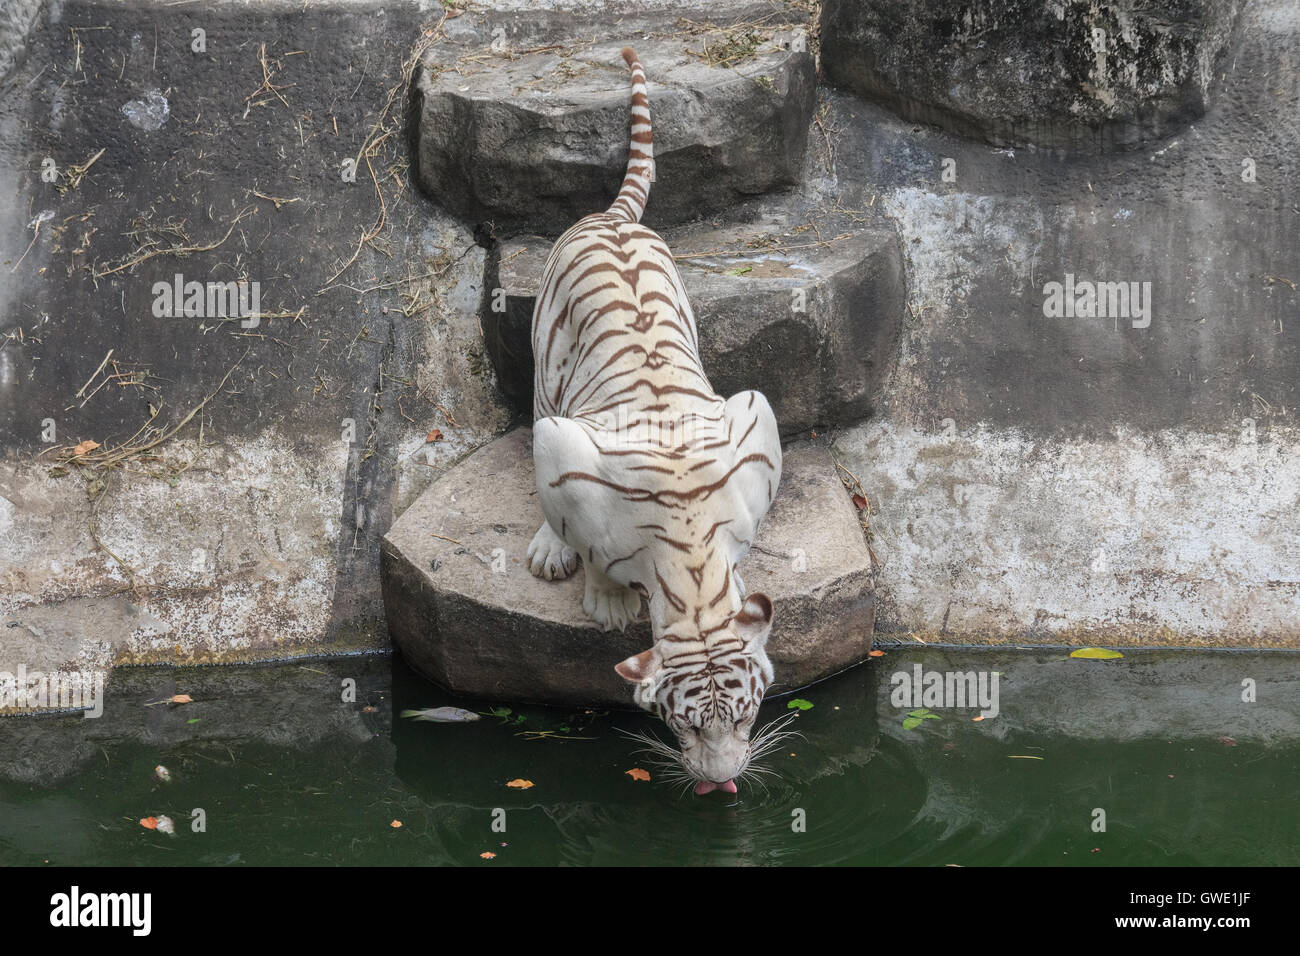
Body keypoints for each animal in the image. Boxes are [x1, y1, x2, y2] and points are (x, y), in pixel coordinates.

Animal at [525, 47, 785, 795]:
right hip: (546, 377)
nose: (721, 781)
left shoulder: (754, 418)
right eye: (686, 725)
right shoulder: (566, 455)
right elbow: (588, 545)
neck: (693, 569)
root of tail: (609, 217)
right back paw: (548, 552)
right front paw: (606, 600)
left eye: (746, 714)